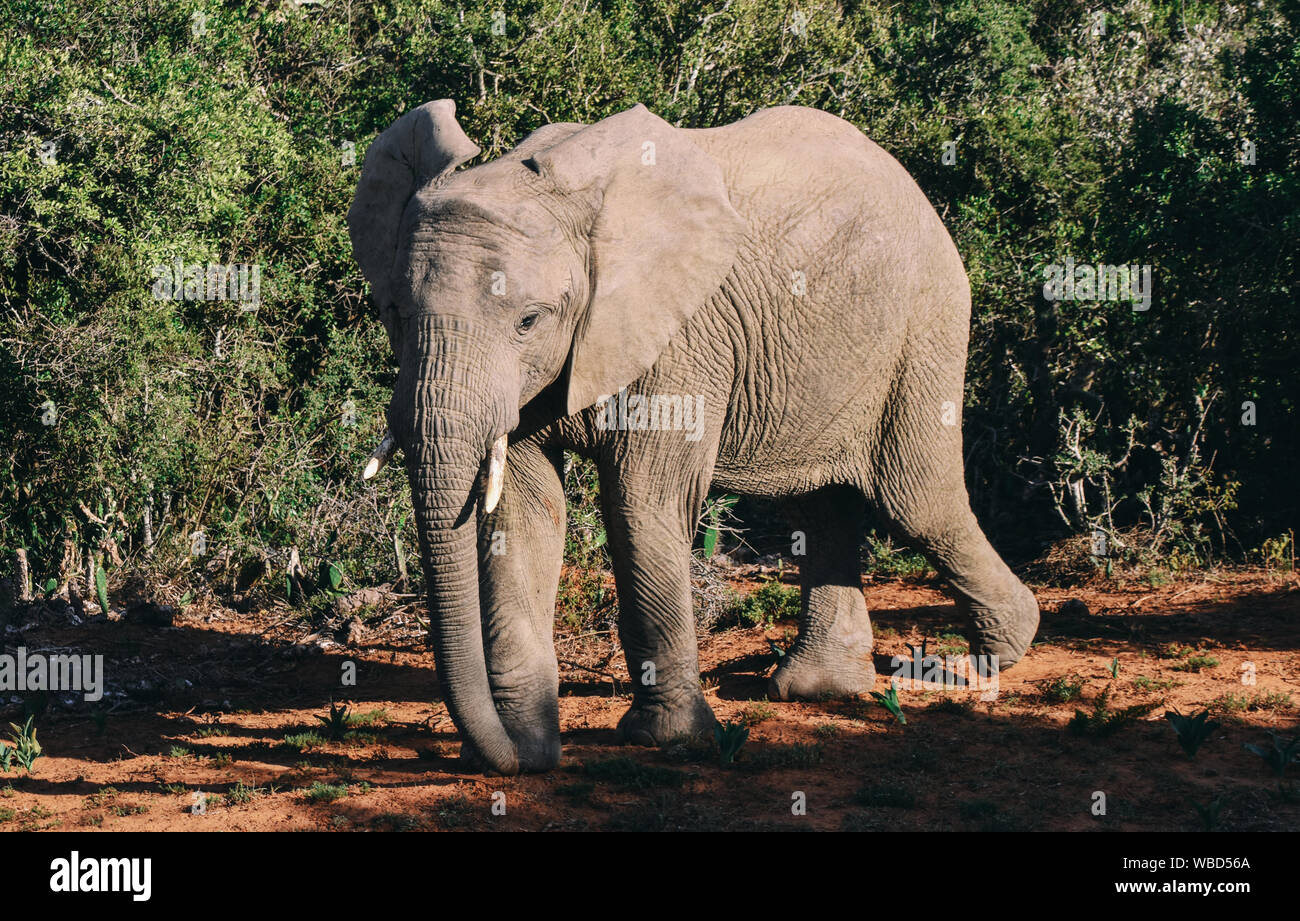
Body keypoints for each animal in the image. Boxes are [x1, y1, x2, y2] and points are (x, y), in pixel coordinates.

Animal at [347, 99, 1040, 775]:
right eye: (393, 314)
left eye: (528, 320)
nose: (507, 760)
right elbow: (522, 513)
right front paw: (528, 748)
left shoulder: (680, 336)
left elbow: (639, 503)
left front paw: (669, 742)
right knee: (819, 503)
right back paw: (818, 688)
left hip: (924, 321)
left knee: (915, 501)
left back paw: (991, 656)